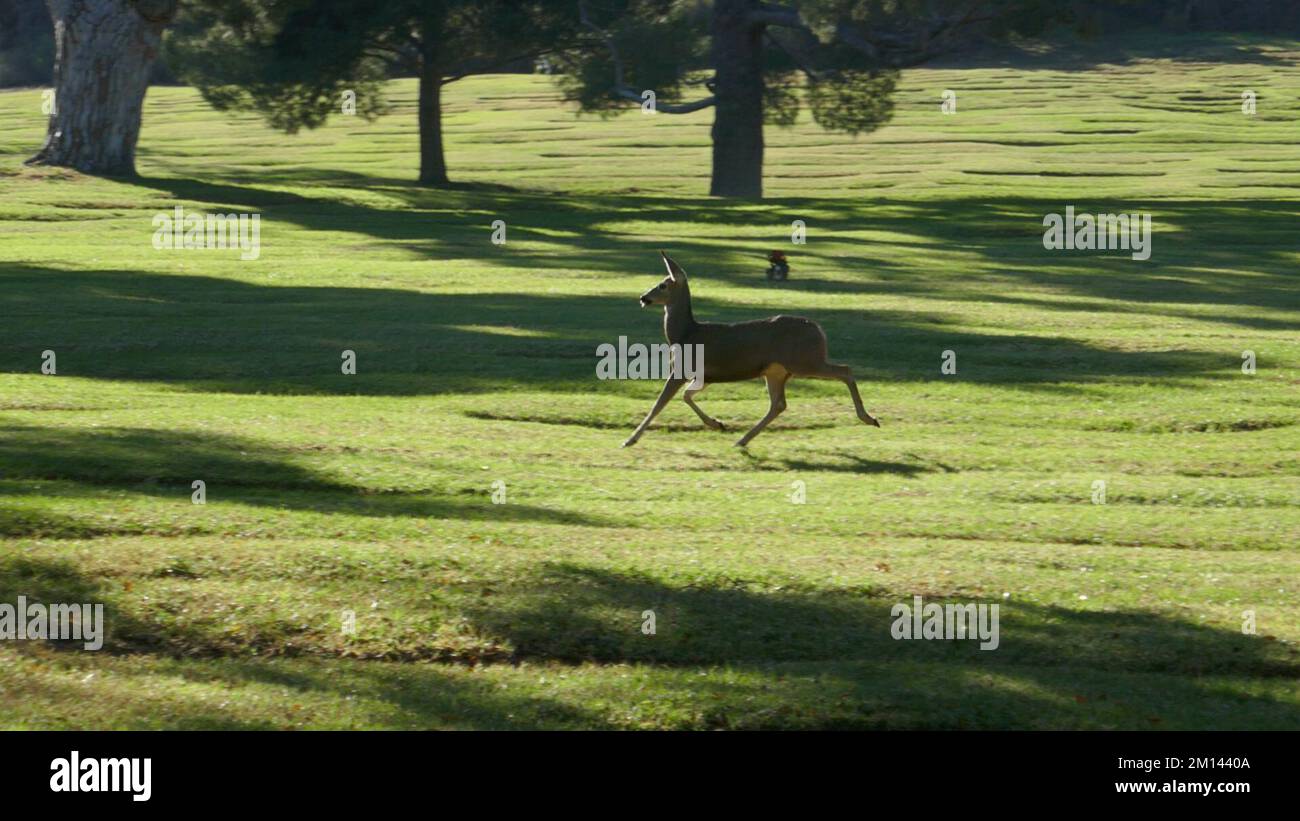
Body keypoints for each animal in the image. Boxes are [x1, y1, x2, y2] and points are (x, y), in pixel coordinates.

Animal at [622, 251, 880, 448]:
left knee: (845, 370)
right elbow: (686, 396)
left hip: (804, 360)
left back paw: (869, 418)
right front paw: (717, 423)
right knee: (779, 404)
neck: (684, 334)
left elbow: (658, 404)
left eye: (663, 284)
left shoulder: (682, 369)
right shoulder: (705, 376)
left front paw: (630, 440)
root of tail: (819, 331)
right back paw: (742, 440)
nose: (643, 297)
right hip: (777, 370)